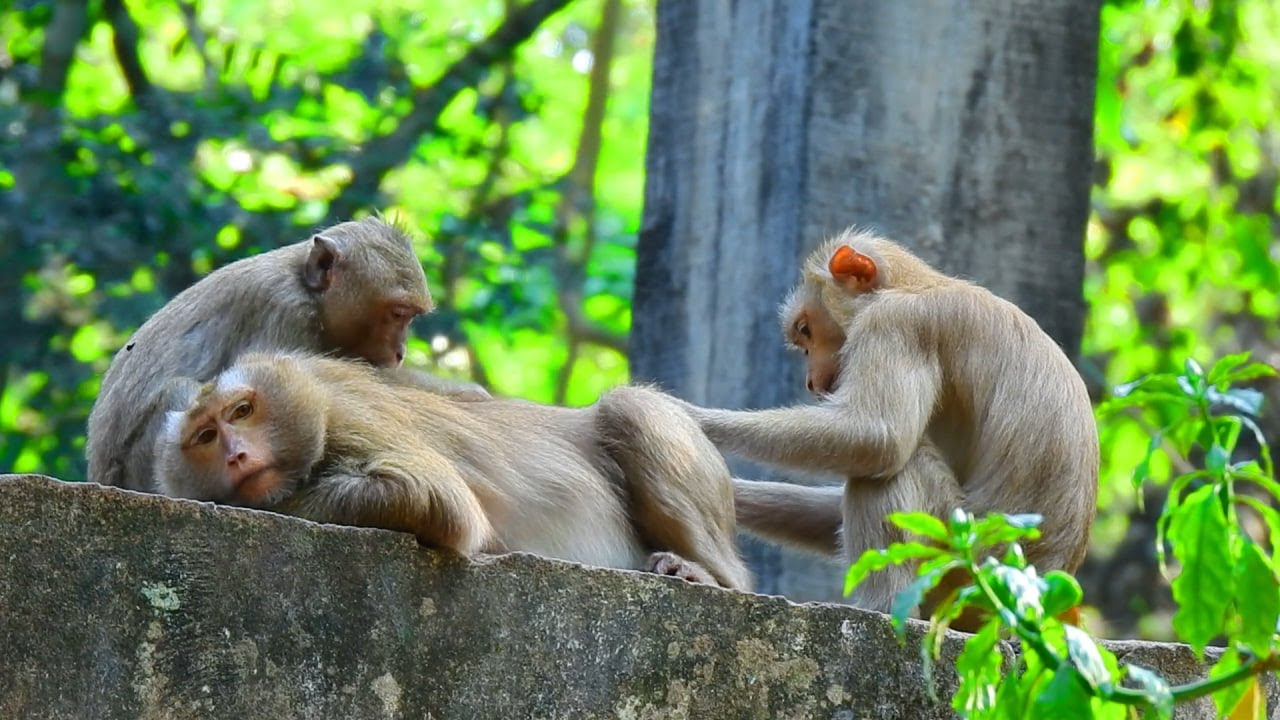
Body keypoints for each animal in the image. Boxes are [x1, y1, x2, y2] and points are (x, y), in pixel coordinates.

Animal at [85, 216, 474, 493]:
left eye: (409, 317)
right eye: (398, 314)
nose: (400, 352)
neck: (304, 285)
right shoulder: (286, 313)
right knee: (180, 391)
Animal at [152, 352, 752, 591]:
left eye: (242, 411)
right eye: (205, 437)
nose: (235, 454)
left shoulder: (348, 416)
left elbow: (435, 499)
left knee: (631, 407)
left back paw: (708, 576)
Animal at [683, 228, 1099, 625]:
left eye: (806, 329)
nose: (811, 382)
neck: (914, 285)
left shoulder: (896, 324)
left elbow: (875, 437)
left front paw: (692, 417)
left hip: (962, 555)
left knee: (892, 468)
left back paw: (882, 608)